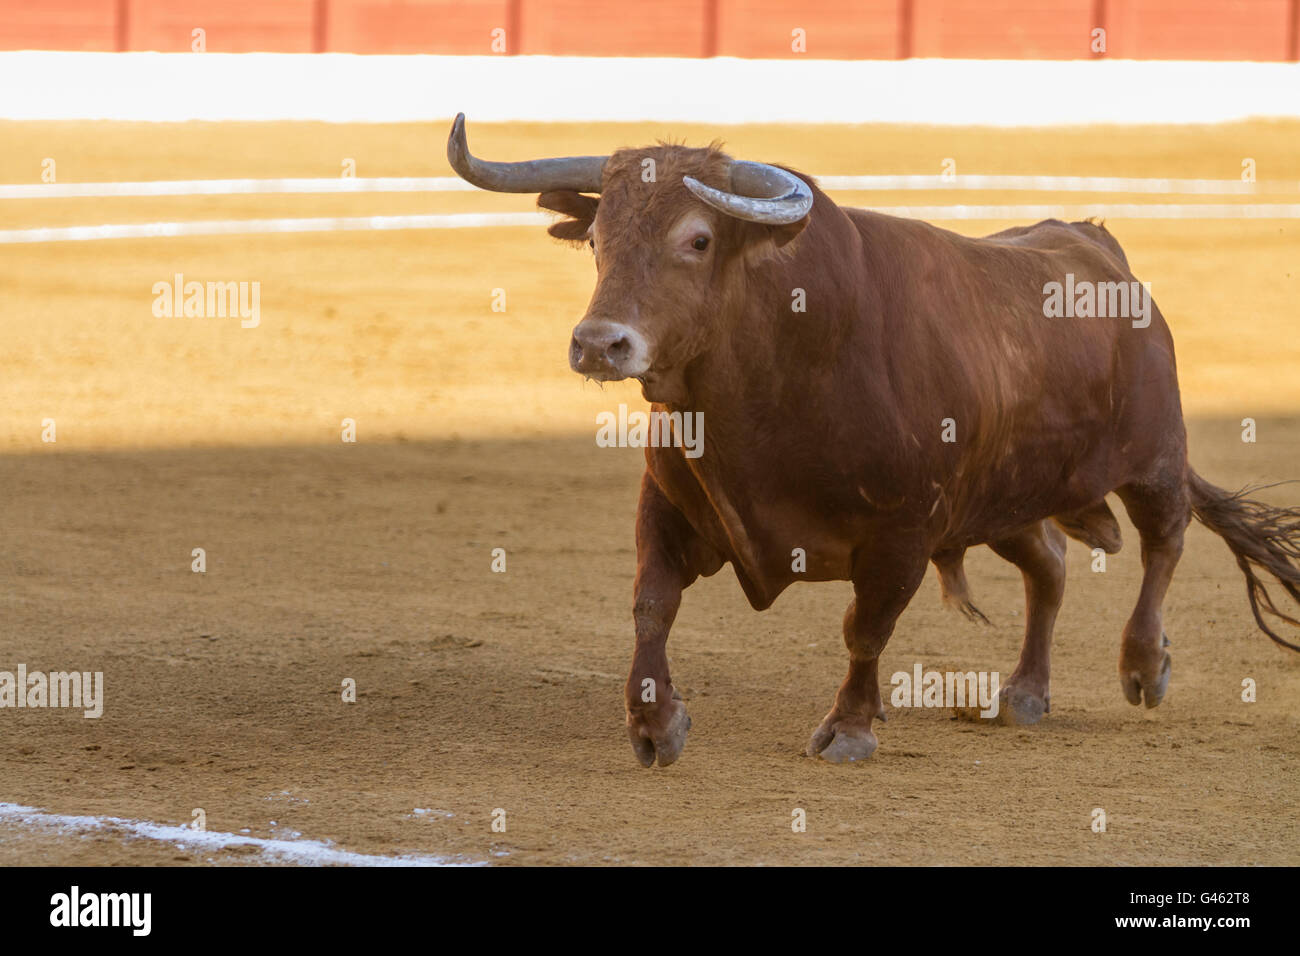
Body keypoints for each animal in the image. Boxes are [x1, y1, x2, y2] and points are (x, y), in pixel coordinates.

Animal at [446, 113, 1300, 766]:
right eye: (596, 241)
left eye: (697, 240)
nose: (599, 344)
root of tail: (1097, 244)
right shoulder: (669, 505)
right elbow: (651, 605)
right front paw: (656, 726)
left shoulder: (902, 534)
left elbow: (865, 628)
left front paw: (849, 729)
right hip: (1005, 500)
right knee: (1050, 568)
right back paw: (1024, 692)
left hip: (1154, 457)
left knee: (1164, 543)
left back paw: (1143, 664)